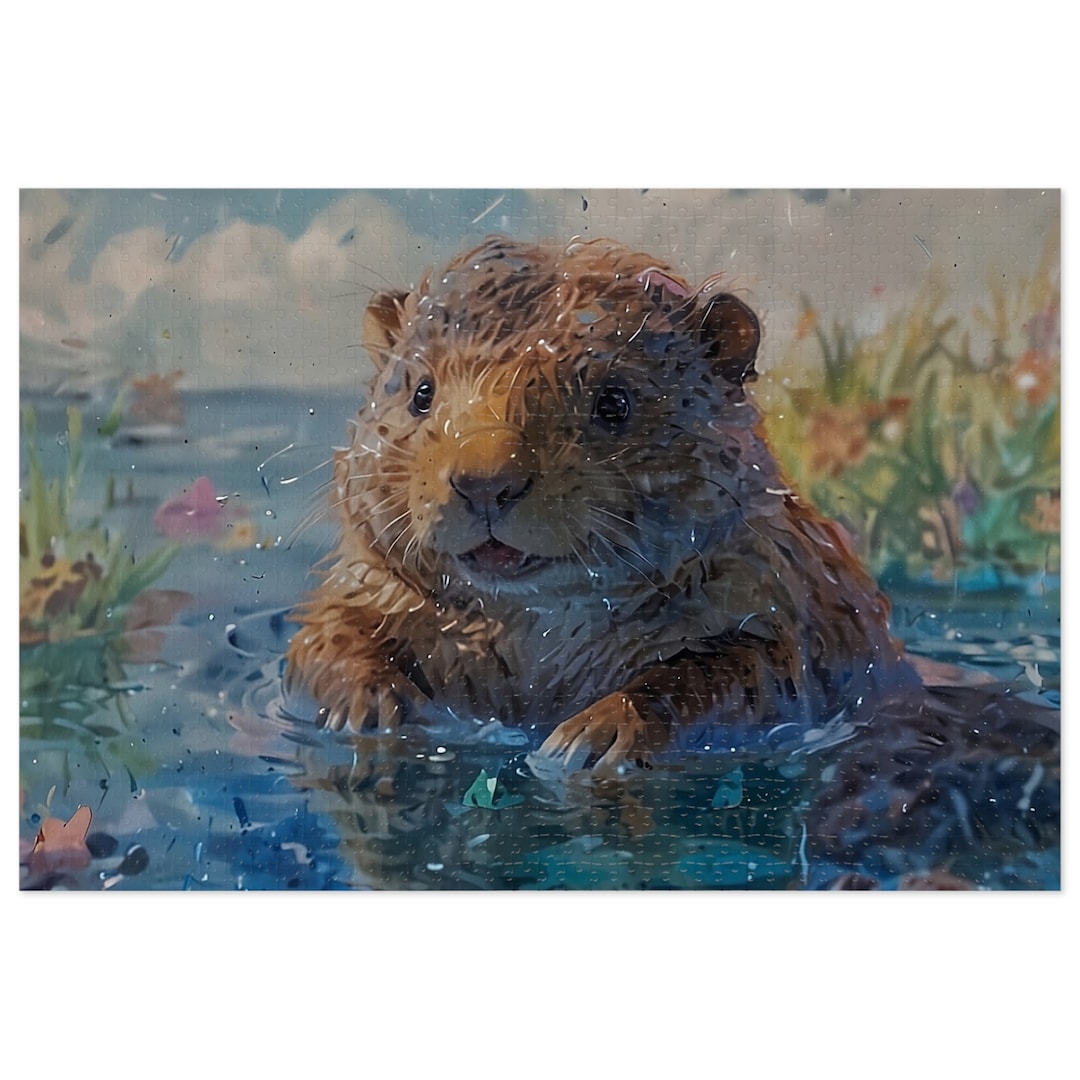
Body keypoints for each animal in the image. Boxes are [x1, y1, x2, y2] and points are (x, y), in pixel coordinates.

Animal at [285, 236, 922, 774]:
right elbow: (322, 638)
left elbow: (739, 671)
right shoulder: (373, 585)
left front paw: (591, 736)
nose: (485, 482)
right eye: (421, 393)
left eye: (615, 401)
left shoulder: (774, 600)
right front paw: (366, 705)